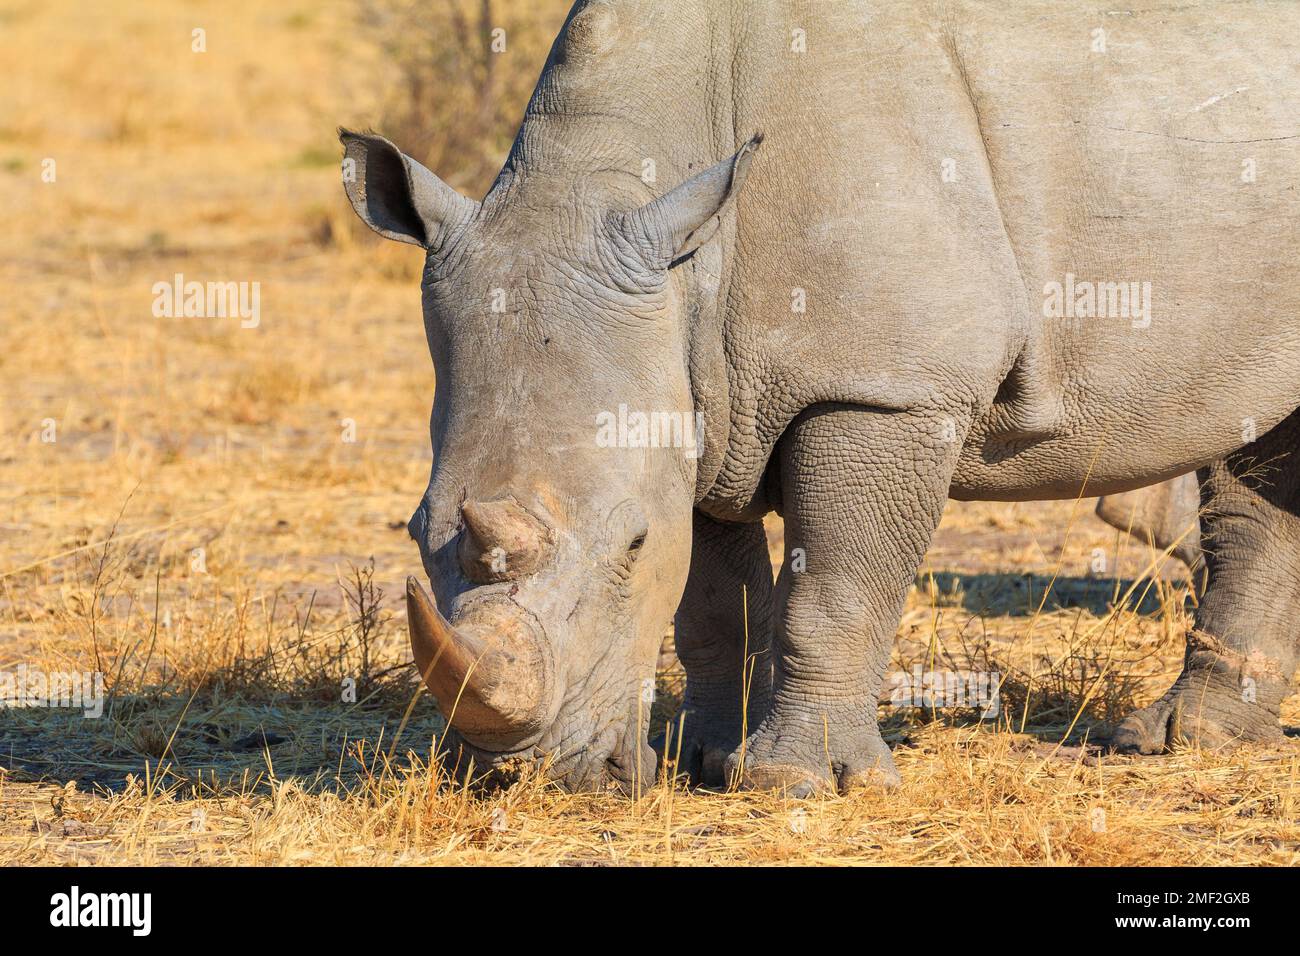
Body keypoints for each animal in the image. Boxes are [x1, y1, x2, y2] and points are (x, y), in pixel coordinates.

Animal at [342, 0, 1300, 794]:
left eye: (631, 546)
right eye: (417, 533)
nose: (524, 778)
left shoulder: (887, 389)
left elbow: (836, 586)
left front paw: (794, 782)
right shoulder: (698, 394)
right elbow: (713, 601)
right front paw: (703, 758)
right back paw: (1189, 740)